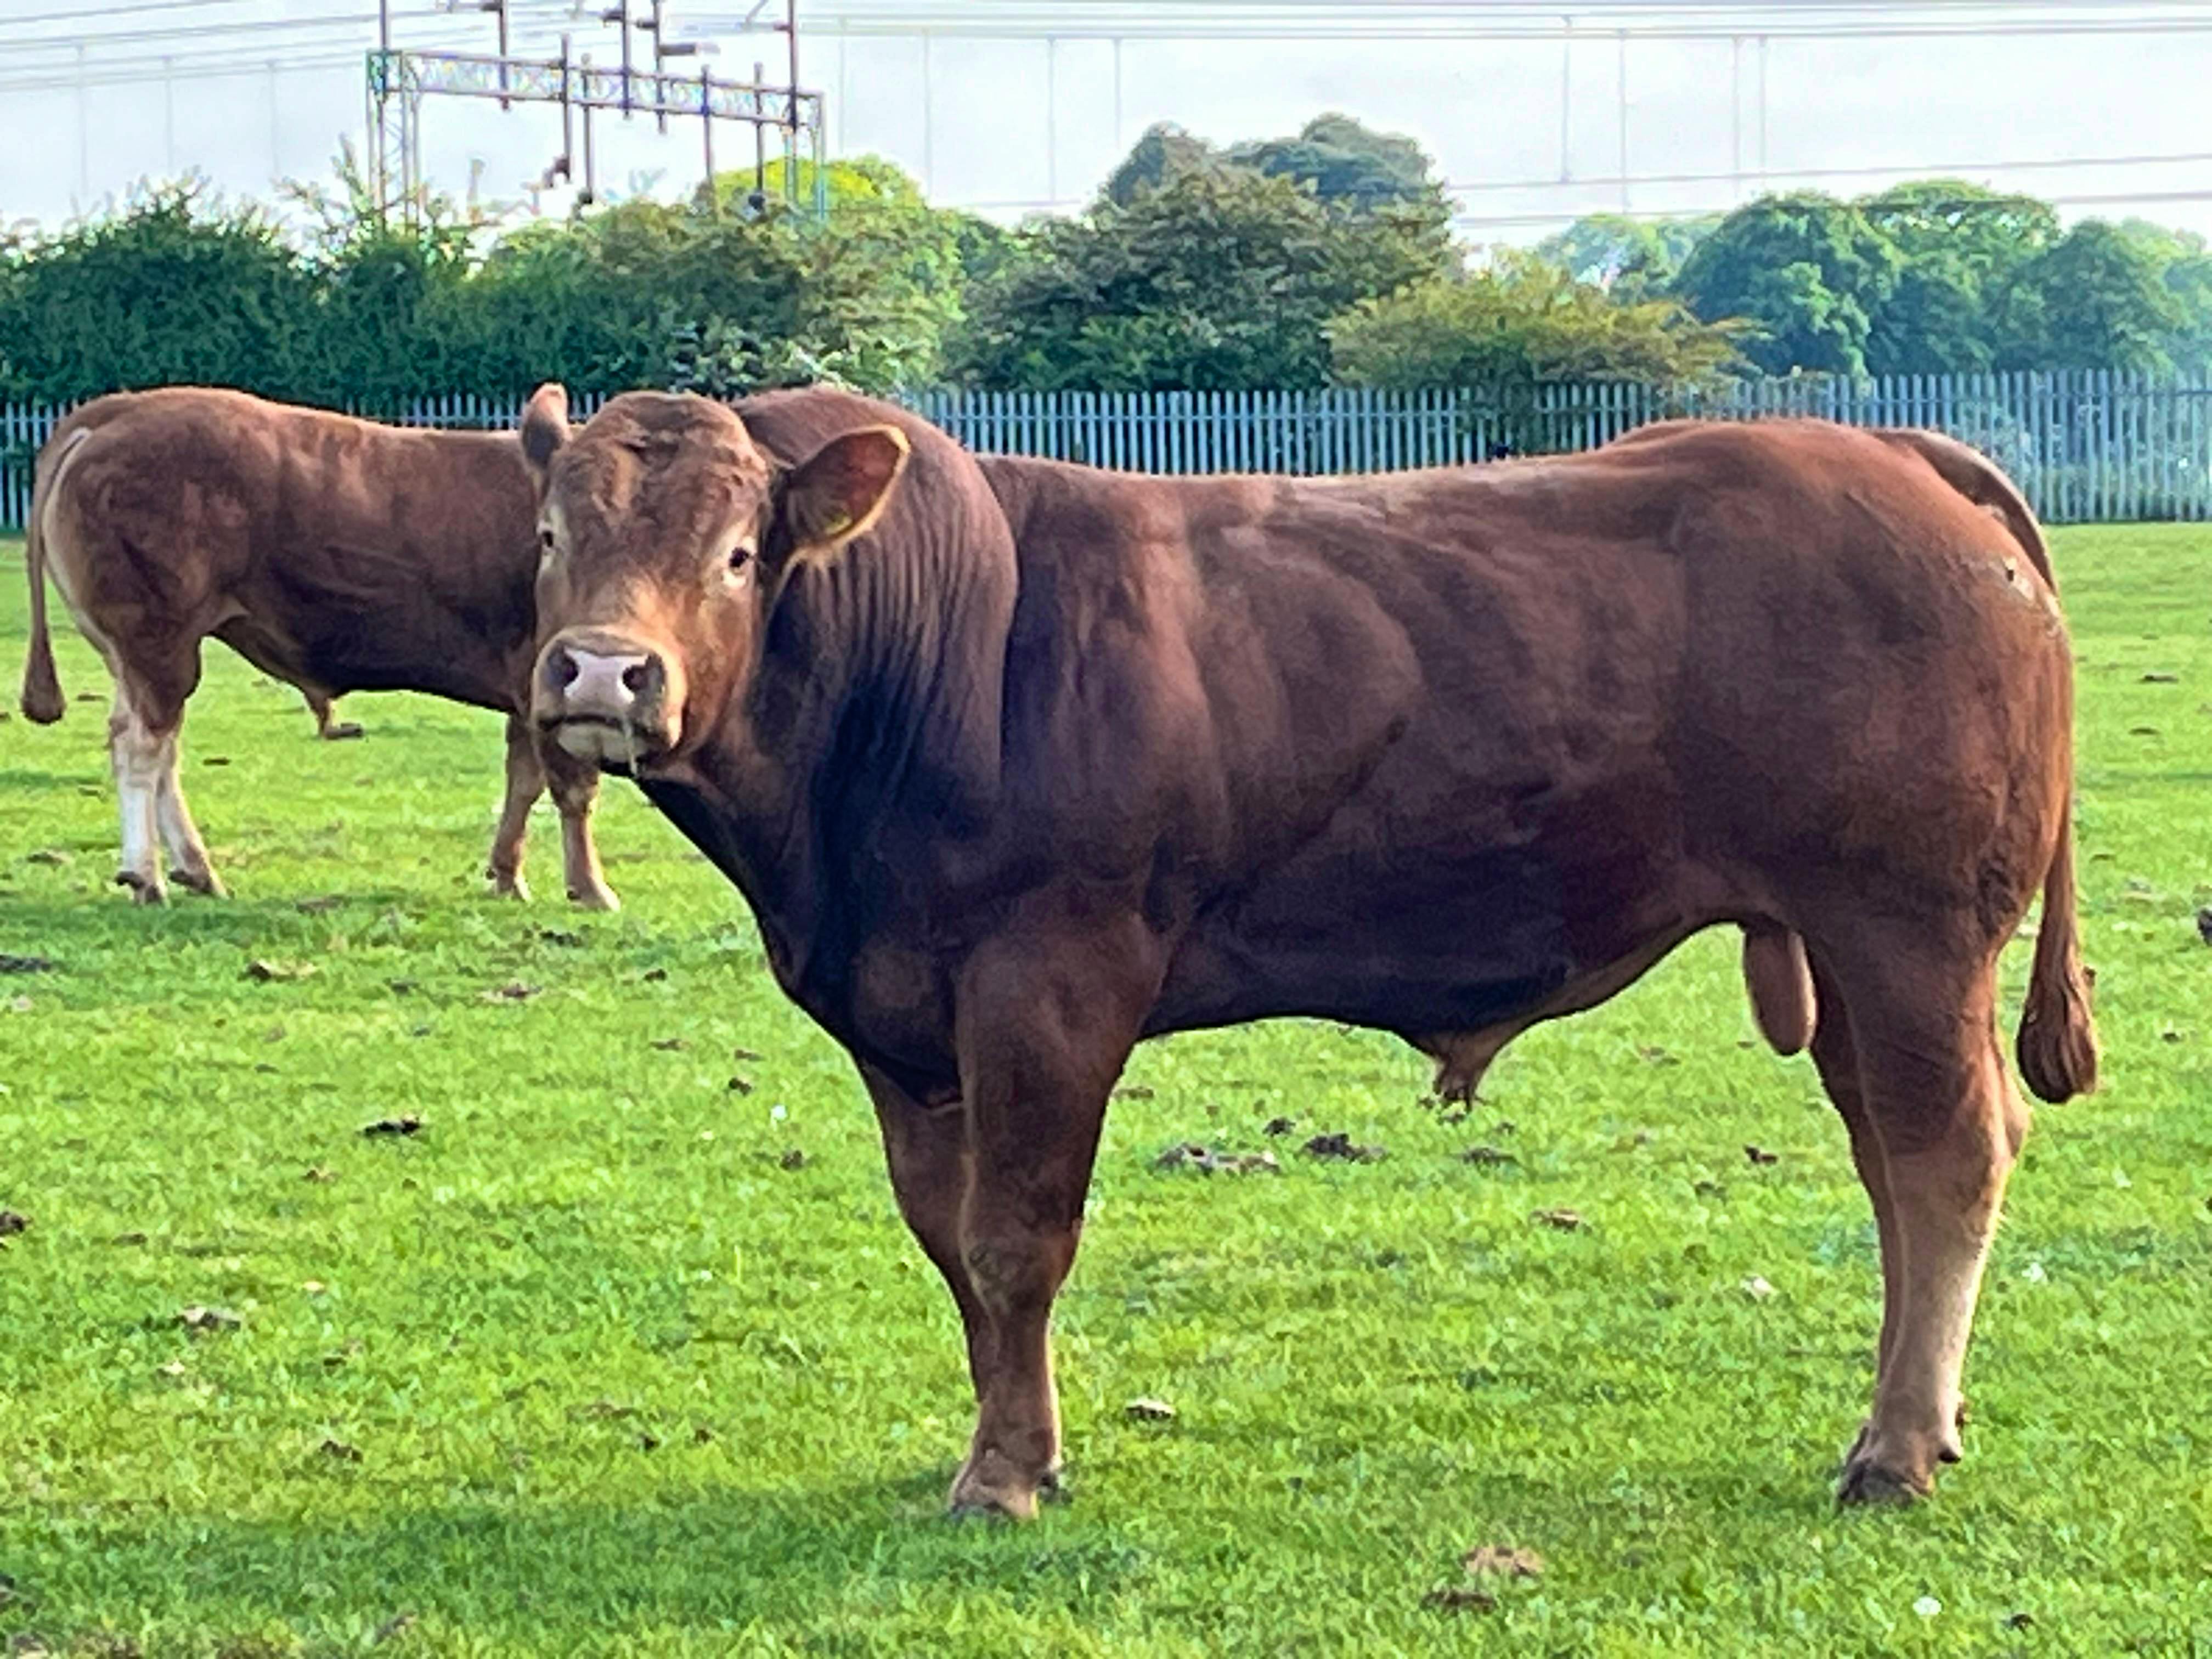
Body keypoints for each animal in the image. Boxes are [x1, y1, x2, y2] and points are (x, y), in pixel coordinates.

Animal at [16, 386, 616, 908]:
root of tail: (121, 410)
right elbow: (572, 787)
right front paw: (591, 890)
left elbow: (524, 781)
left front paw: (508, 876)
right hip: (157, 639)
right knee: (143, 748)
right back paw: (148, 875)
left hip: (135, 653)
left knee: (153, 745)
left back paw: (196, 870)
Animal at [518, 383, 2097, 1518]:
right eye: (551, 537)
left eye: (736, 555)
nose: (602, 672)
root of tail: (1889, 452)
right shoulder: (902, 1023)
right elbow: (950, 1242)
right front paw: (998, 1440)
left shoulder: (1048, 986)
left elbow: (1017, 1240)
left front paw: (1008, 1475)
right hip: (1852, 953)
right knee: (1897, 1164)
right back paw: (1924, 1419)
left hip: (1907, 929)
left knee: (1949, 1156)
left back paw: (1894, 1448)